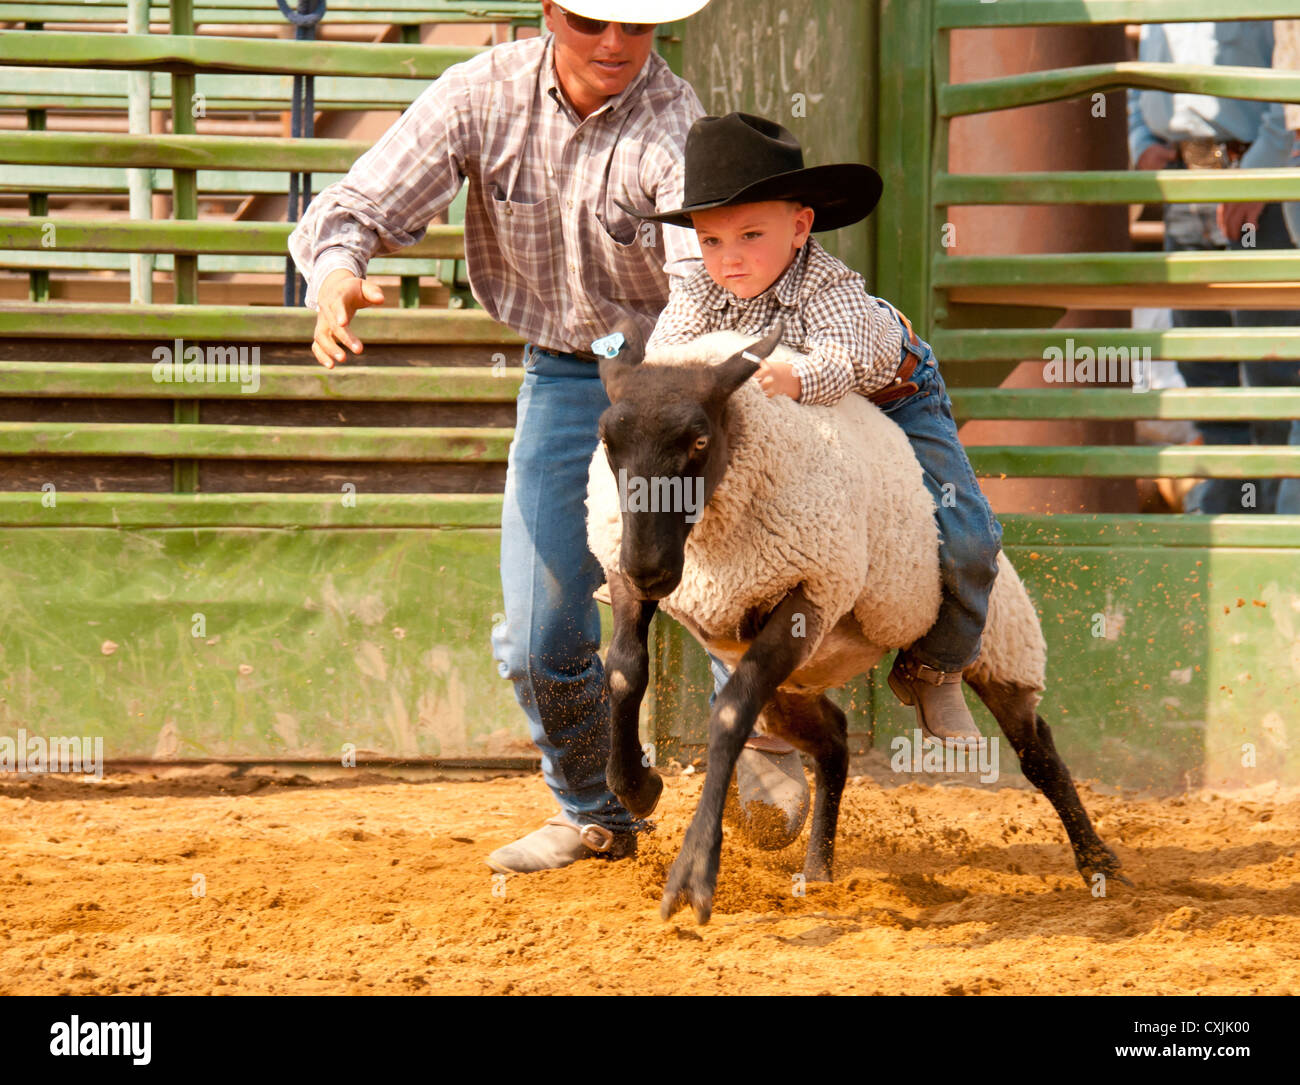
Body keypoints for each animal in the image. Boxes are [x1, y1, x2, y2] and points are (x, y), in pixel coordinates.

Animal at [586, 320, 1128, 924]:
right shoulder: (630, 569)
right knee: (834, 741)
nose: (650, 568)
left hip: (998, 643)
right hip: (790, 689)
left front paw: (693, 874)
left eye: (699, 442)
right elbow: (624, 671)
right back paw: (819, 869)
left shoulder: (811, 591)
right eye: (608, 442)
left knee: (1037, 749)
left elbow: (728, 715)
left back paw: (1099, 861)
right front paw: (636, 787)